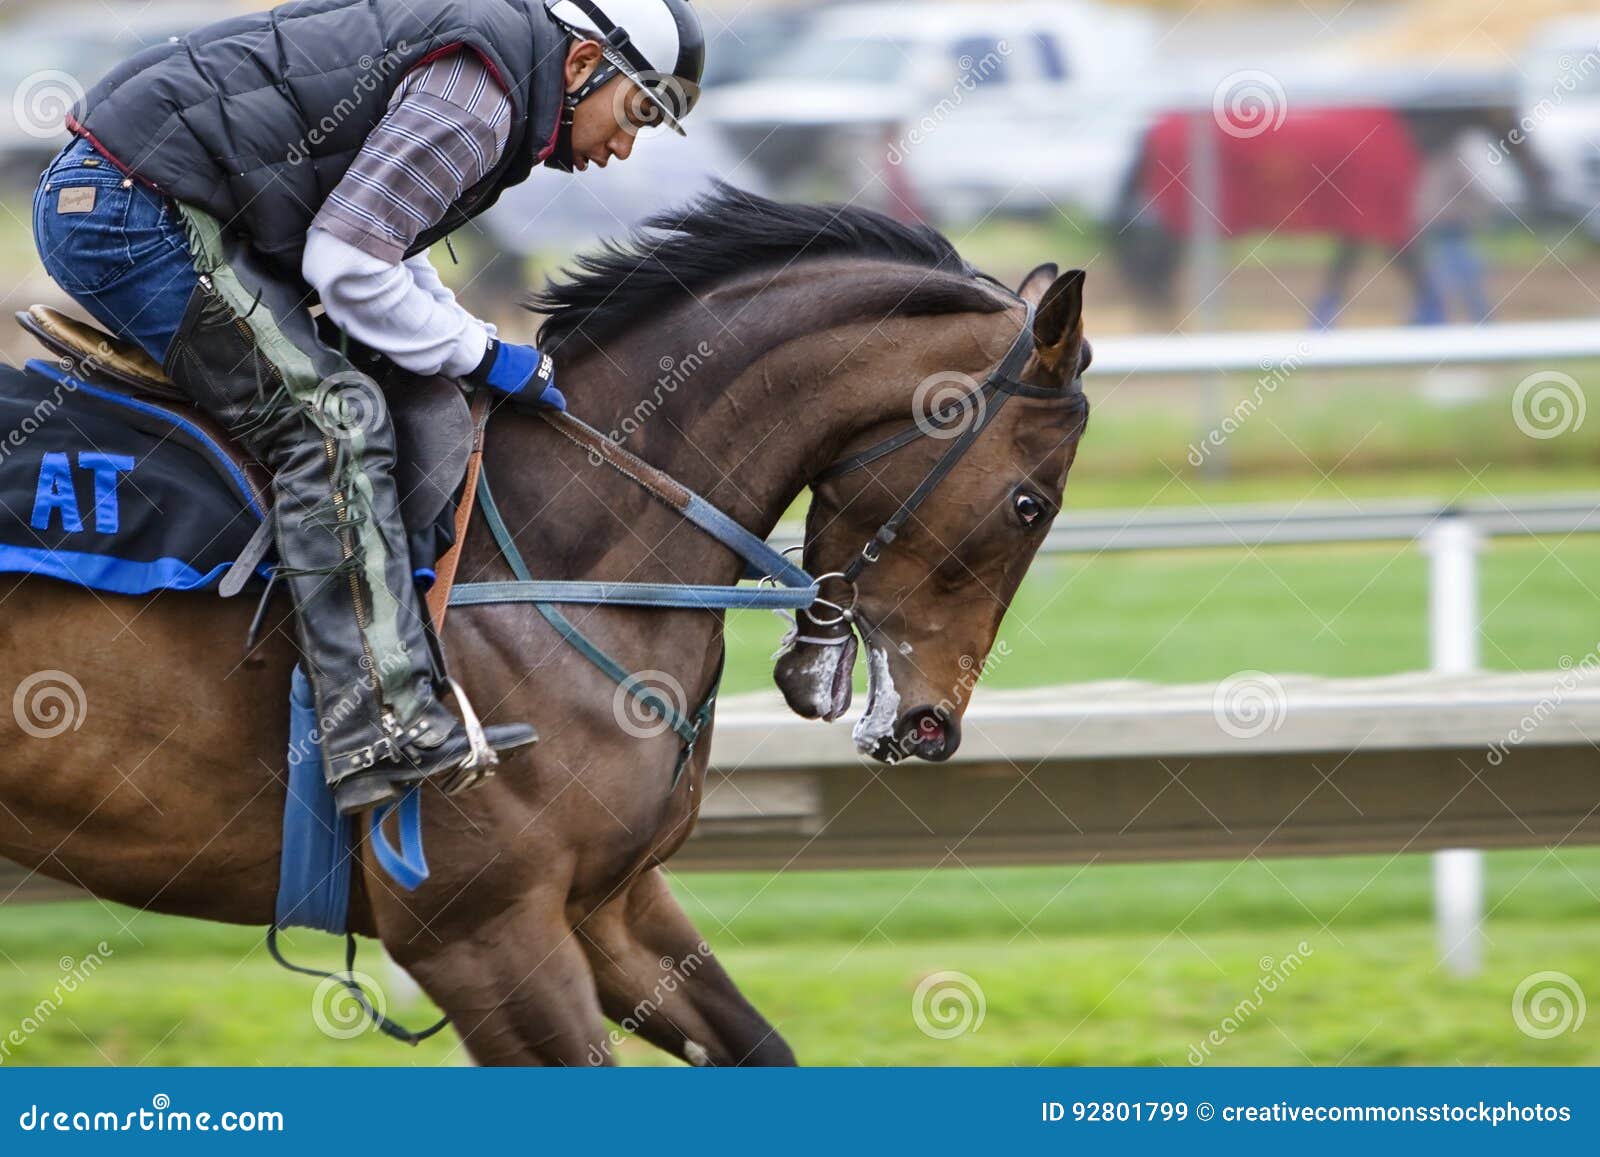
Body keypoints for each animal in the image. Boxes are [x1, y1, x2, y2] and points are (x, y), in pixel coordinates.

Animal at [0, 187, 1091, 1065]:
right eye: (1031, 503)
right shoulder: (479, 932)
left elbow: (761, 1047)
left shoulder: (610, 902)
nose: (930, 726)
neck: (561, 542)